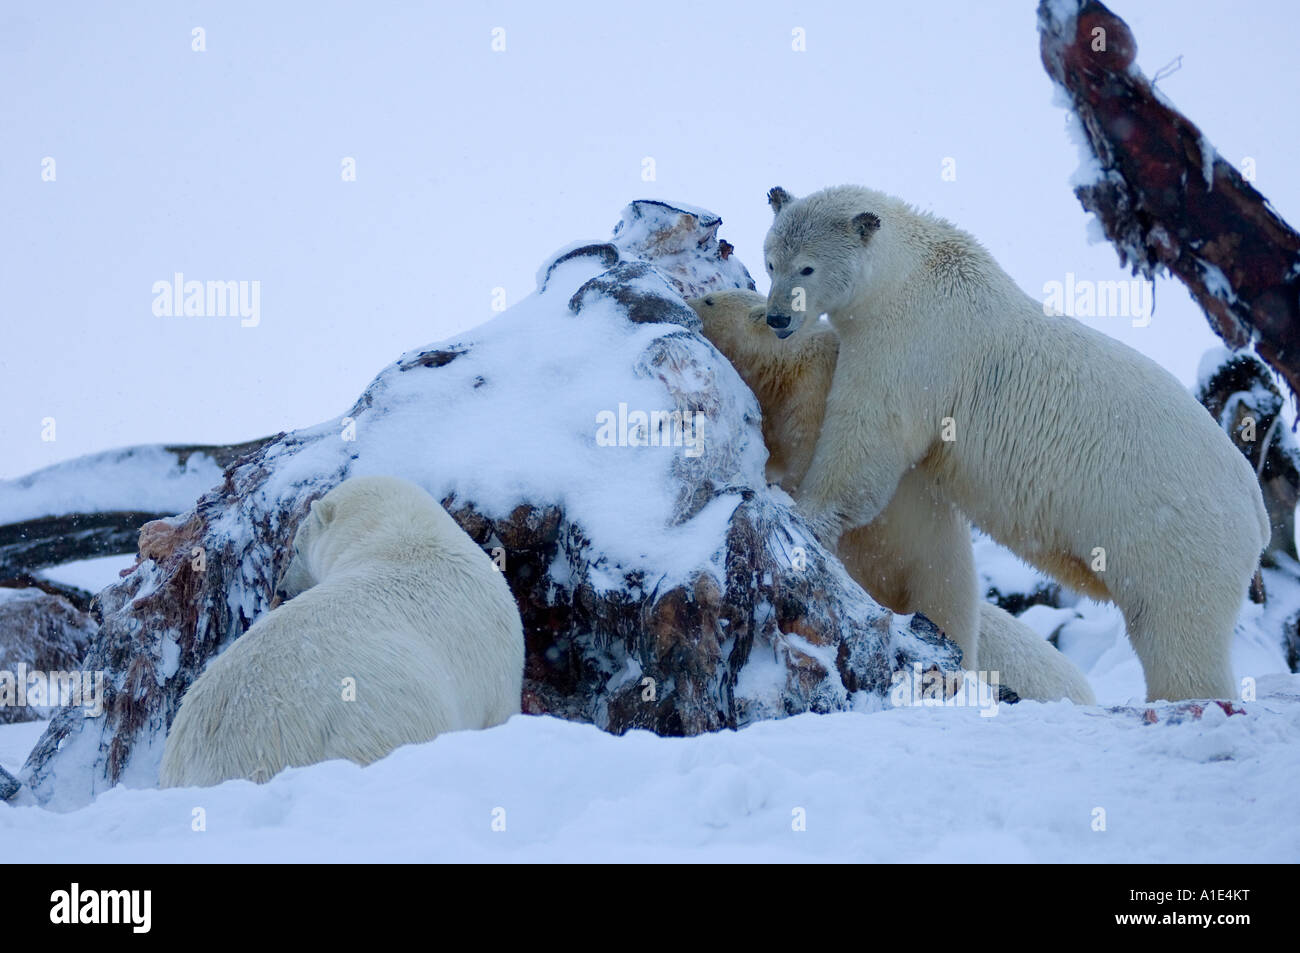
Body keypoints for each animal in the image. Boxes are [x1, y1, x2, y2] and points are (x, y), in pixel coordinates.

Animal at [689, 289, 1094, 704]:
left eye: (709, 301)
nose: (686, 300)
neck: (792, 368)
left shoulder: (816, 396)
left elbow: (811, 465)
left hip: (936, 570)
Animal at [760, 184, 1270, 702]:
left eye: (806, 267)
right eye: (771, 261)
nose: (777, 317)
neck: (908, 273)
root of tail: (1254, 502)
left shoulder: (914, 345)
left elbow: (870, 433)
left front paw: (806, 512)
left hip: (1175, 533)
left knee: (1176, 628)